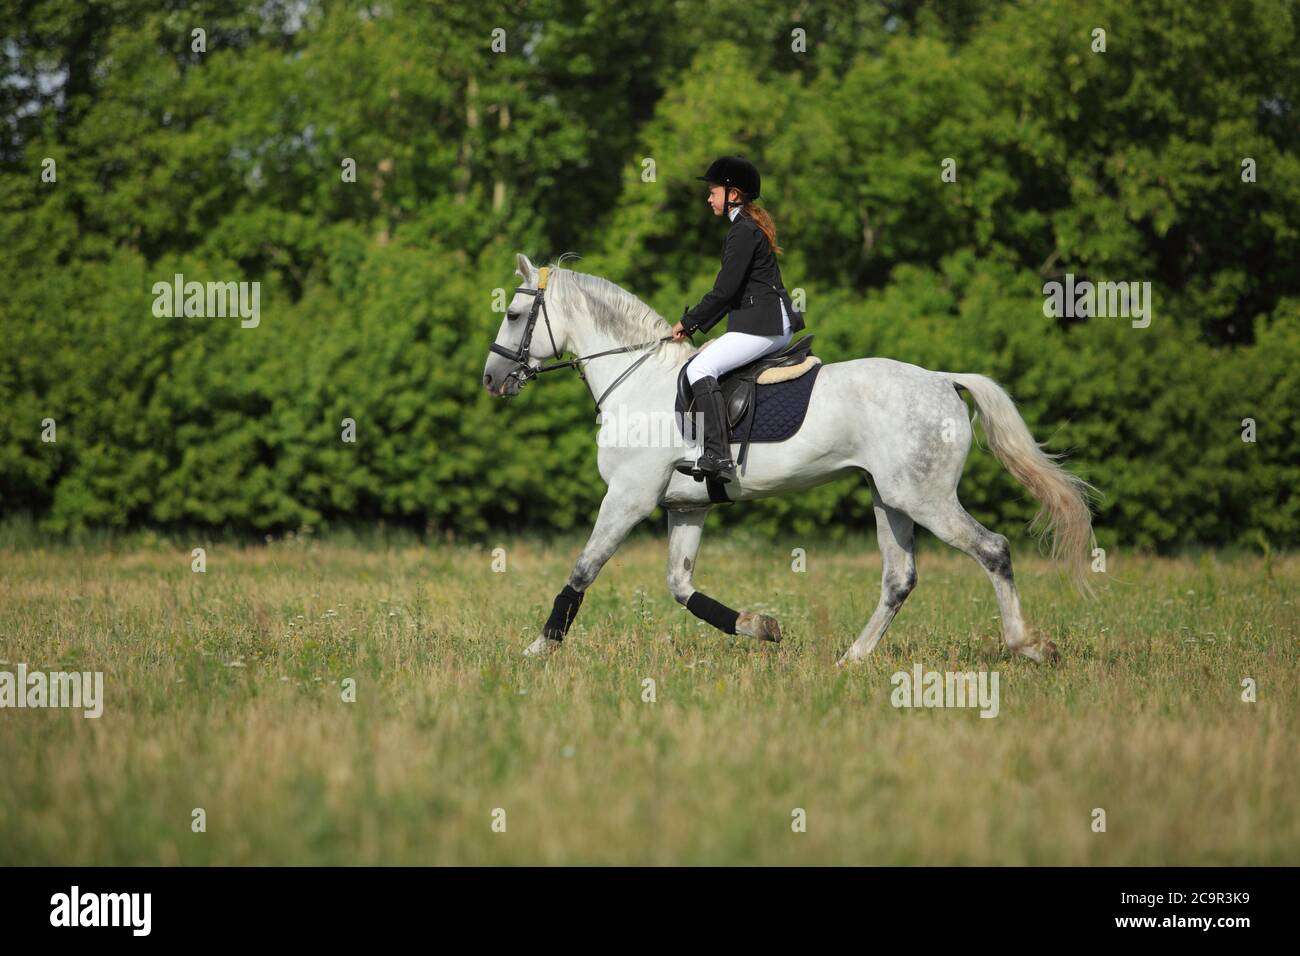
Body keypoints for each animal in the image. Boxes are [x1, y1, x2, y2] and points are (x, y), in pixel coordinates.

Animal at [482, 254, 1096, 666]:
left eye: (511, 313)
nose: (491, 380)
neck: (639, 381)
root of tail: (944, 380)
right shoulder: (686, 507)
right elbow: (680, 587)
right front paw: (762, 627)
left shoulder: (629, 497)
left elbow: (582, 571)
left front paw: (536, 649)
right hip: (890, 498)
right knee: (899, 578)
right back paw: (851, 660)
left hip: (926, 498)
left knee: (993, 550)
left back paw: (1029, 646)